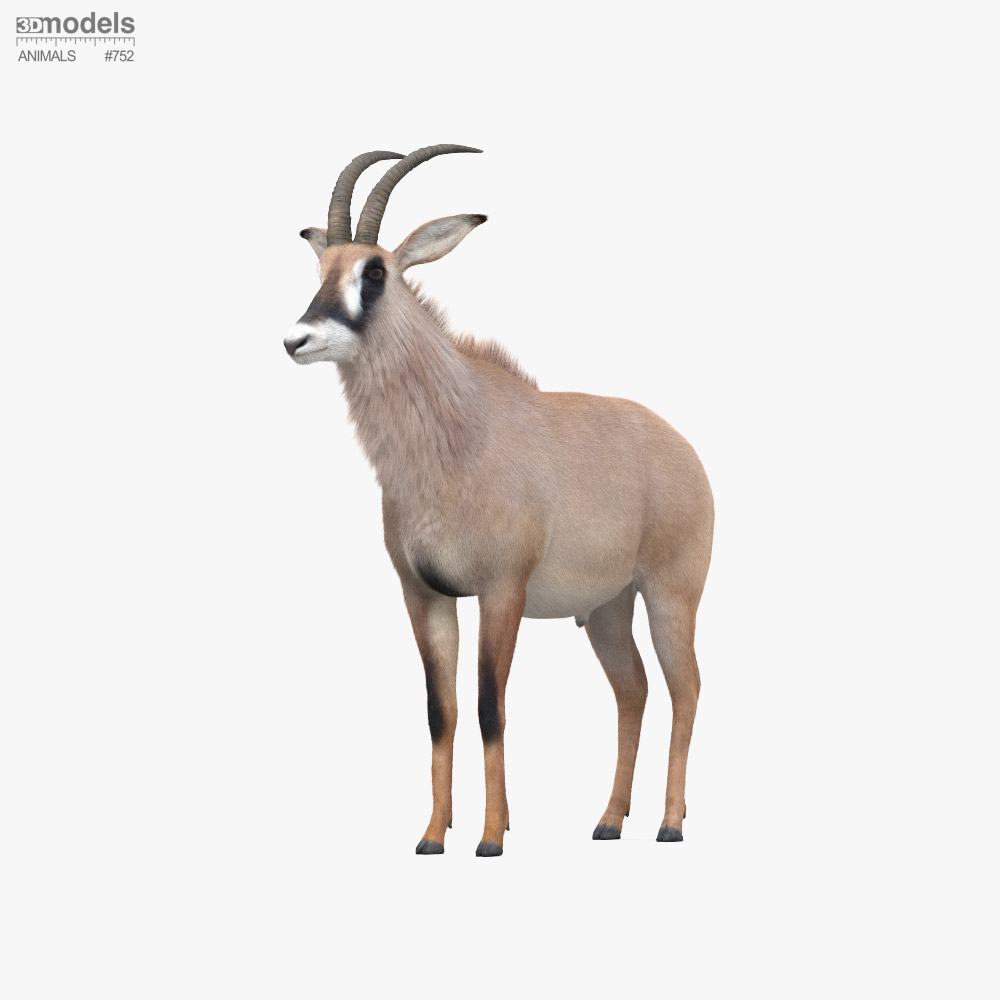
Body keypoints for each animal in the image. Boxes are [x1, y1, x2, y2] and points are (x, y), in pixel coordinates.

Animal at [283, 145, 714, 857]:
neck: (458, 433)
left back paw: (670, 823)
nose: (298, 340)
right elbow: (442, 711)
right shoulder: (424, 594)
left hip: (669, 596)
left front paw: (489, 837)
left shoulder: (501, 590)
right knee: (633, 691)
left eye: (375, 272)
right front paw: (433, 836)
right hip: (607, 609)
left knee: (687, 687)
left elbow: (490, 706)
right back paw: (608, 820)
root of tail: (684, 450)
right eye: (322, 268)